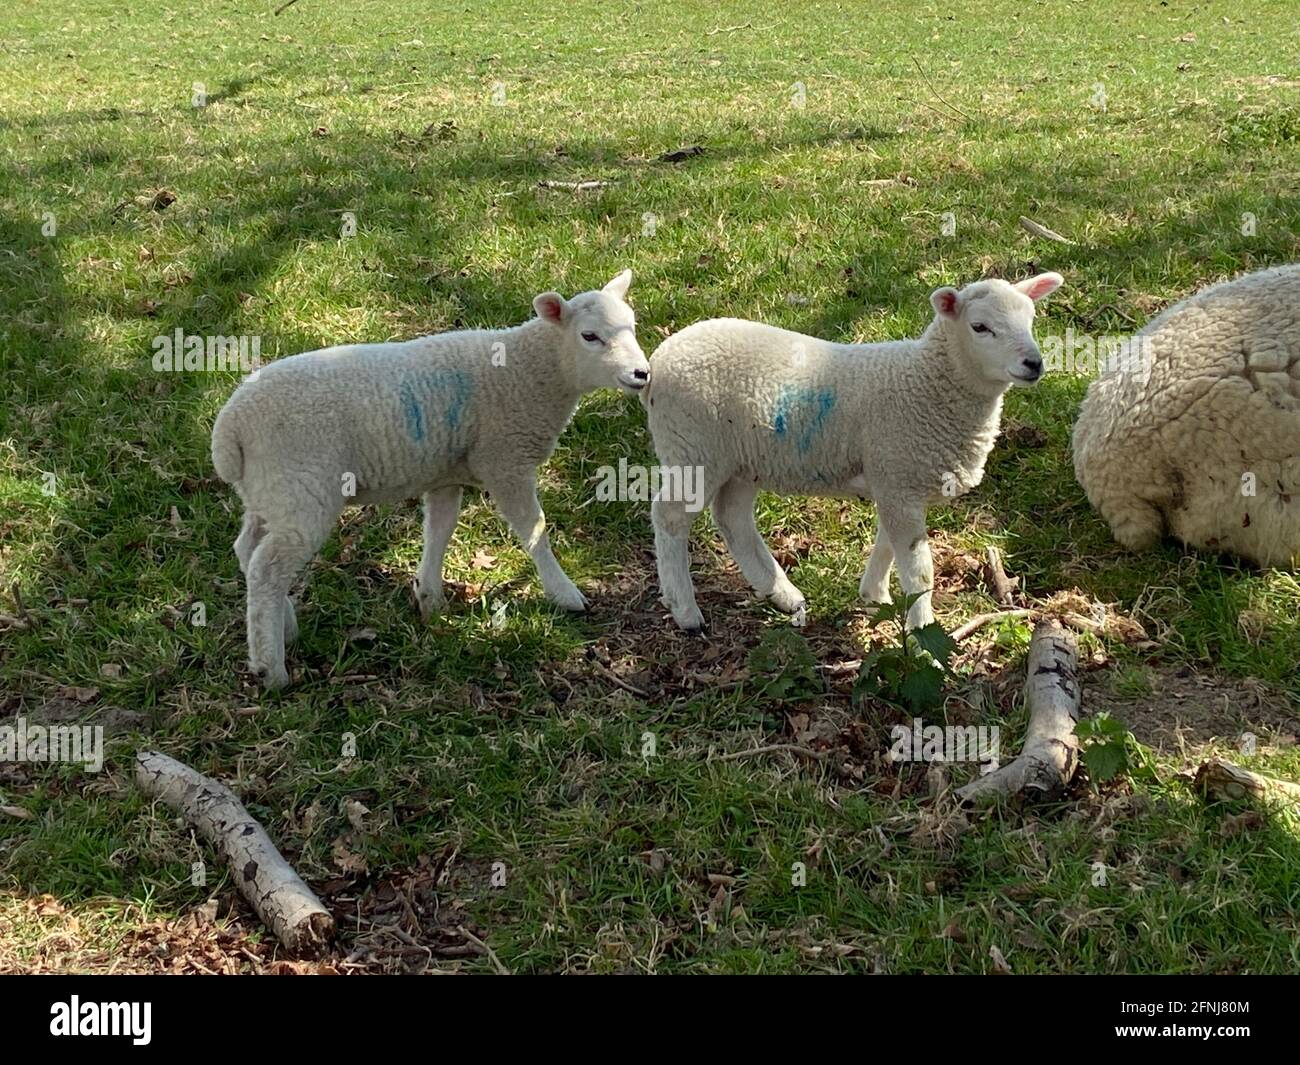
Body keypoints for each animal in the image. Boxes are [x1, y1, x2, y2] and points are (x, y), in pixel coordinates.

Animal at [211, 270, 649, 689]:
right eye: (589, 336)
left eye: (632, 325)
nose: (642, 373)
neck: (533, 371)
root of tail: (230, 429)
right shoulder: (505, 462)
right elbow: (534, 530)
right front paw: (565, 593)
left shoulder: (445, 472)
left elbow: (441, 529)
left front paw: (430, 598)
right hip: (301, 488)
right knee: (267, 569)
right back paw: (271, 670)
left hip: (269, 492)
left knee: (248, 550)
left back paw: (283, 627)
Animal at [642, 273, 1063, 632]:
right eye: (980, 327)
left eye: (1031, 318)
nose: (1034, 363)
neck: (928, 382)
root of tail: (657, 361)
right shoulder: (899, 476)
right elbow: (920, 569)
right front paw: (922, 633)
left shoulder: (895, 480)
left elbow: (887, 543)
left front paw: (874, 595)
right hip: (692, 446)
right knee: (670, 516)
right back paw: (686, 611)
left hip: (741, 458)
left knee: (733, 518)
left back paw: (782, 594)